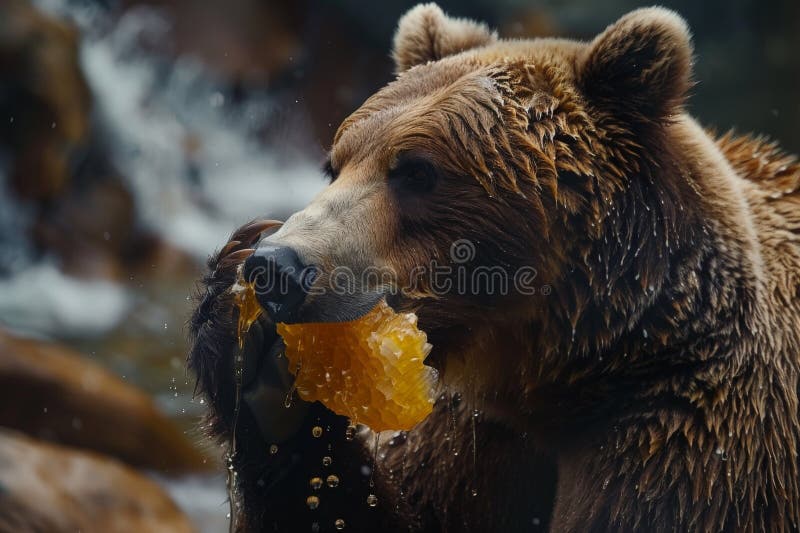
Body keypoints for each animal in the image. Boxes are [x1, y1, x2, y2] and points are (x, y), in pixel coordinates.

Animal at [188, 4, 800, 532]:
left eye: (416, 171)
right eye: (333, 165)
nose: (277, 266)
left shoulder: (688, 441)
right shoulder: (469, 436)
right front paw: (249, 355)